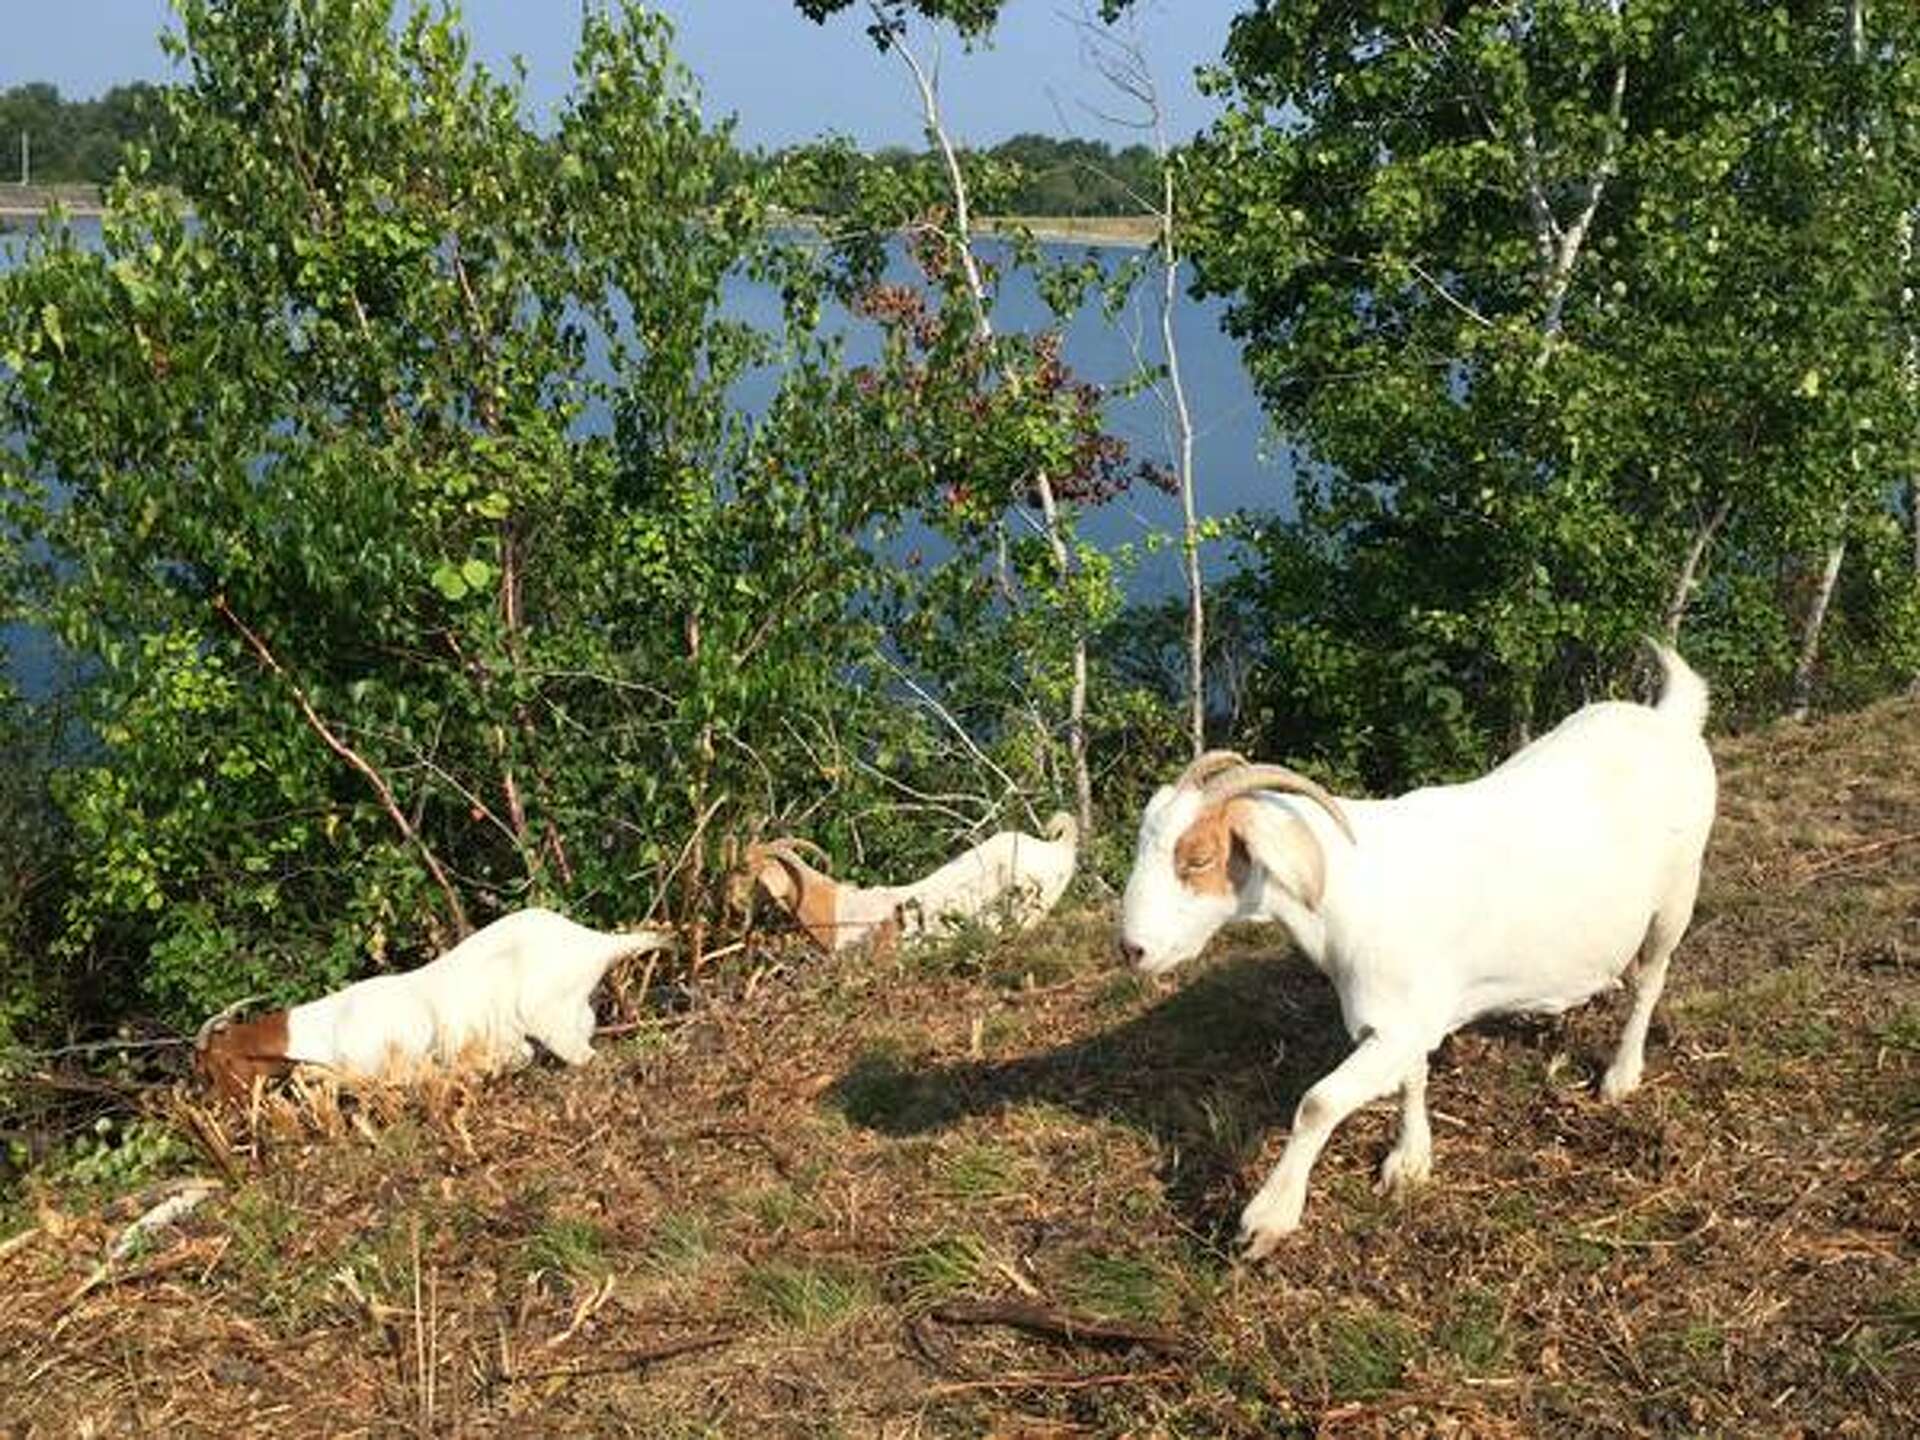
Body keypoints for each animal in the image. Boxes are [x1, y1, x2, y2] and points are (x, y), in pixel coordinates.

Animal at [1118, 646, 1717, 1258]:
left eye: (1197, 859)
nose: (1133, 949)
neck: (1352, 886)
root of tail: (1670, 718)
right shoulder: (1404, 1017)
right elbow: (1412, 1075)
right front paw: (1410, 1161)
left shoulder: (1398, 1020)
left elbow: (1319, 1103)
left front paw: (1266, 1221)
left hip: (1676, 896)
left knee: (1649, 980)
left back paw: (1622, 1074)